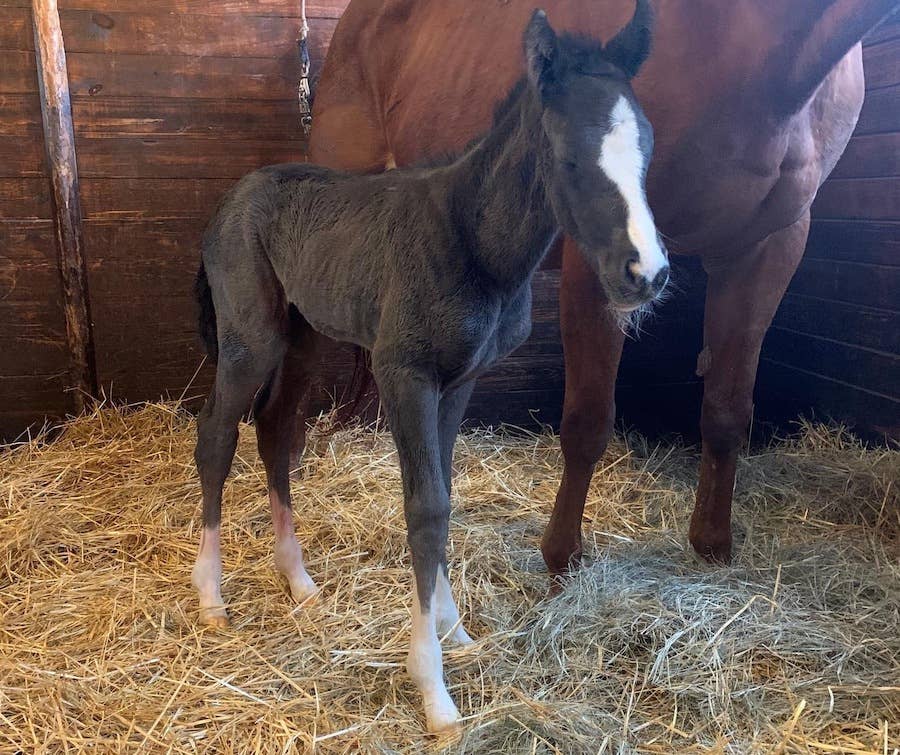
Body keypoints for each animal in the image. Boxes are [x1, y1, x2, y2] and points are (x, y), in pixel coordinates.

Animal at [191, 9, 664, 731]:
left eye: (648, 147)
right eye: (568, 158)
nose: (647, 273)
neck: (472, 241)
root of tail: (233, 197)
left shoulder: (460, 379)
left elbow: (445, 488)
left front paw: (453, 627)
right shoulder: (404, 372)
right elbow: (426, 505)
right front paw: (433, 686)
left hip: (304, 339)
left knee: (275, 430)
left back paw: (298, 581)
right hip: (251, 339)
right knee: (217, 436)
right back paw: (211, 597)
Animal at [309, 0, 898, 571]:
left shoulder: (767, 247)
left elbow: (727, 408)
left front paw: (712, 544)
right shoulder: (597, 263)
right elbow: (588, 419)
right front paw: (561, 556)